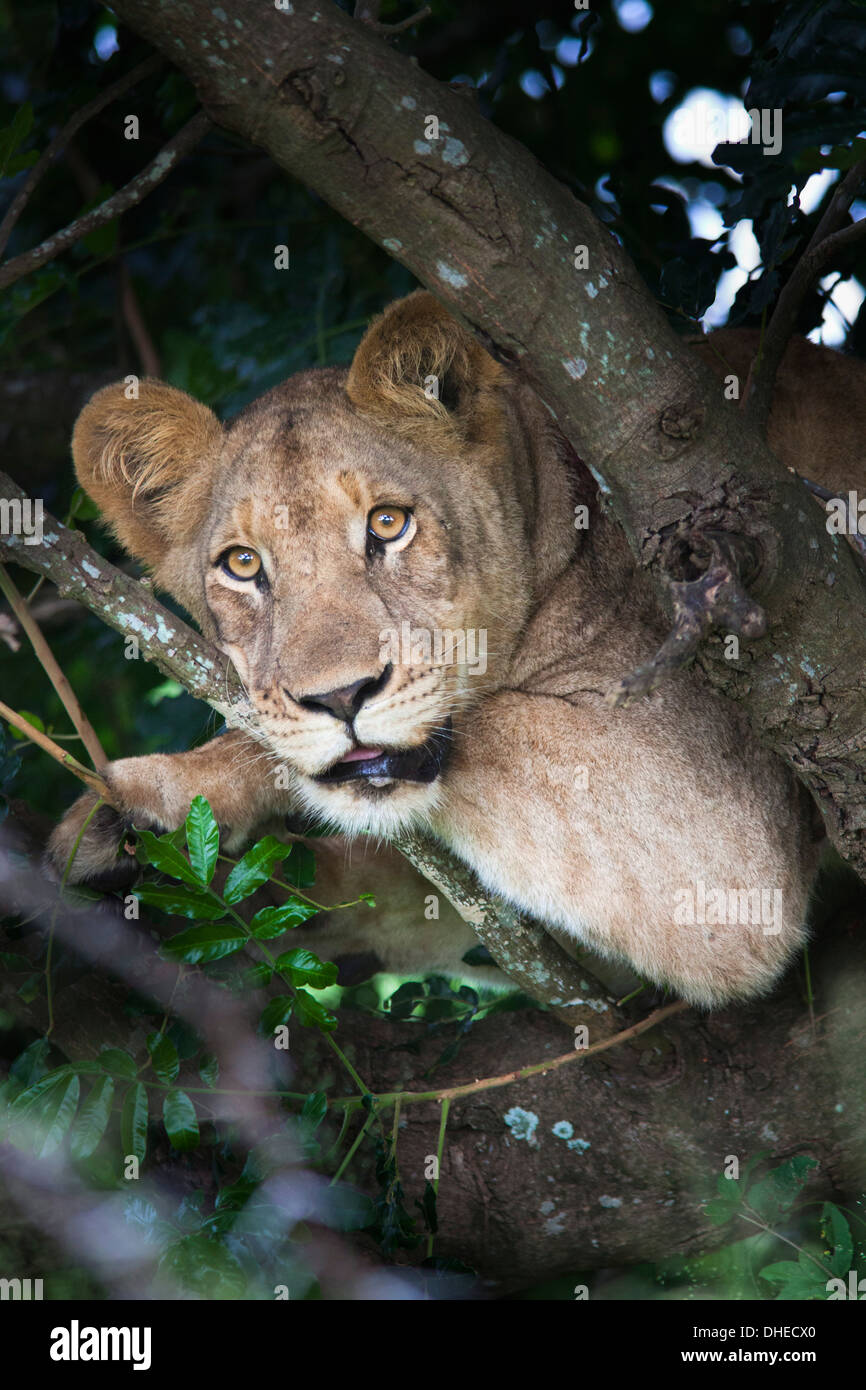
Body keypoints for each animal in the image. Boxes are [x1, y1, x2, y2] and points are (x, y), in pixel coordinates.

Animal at [46, 292, 866, 1006]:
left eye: (388, 523)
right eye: (242, 565)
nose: (340, 697)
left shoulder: (720, 842)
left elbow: (484, 723)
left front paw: (165, 788)